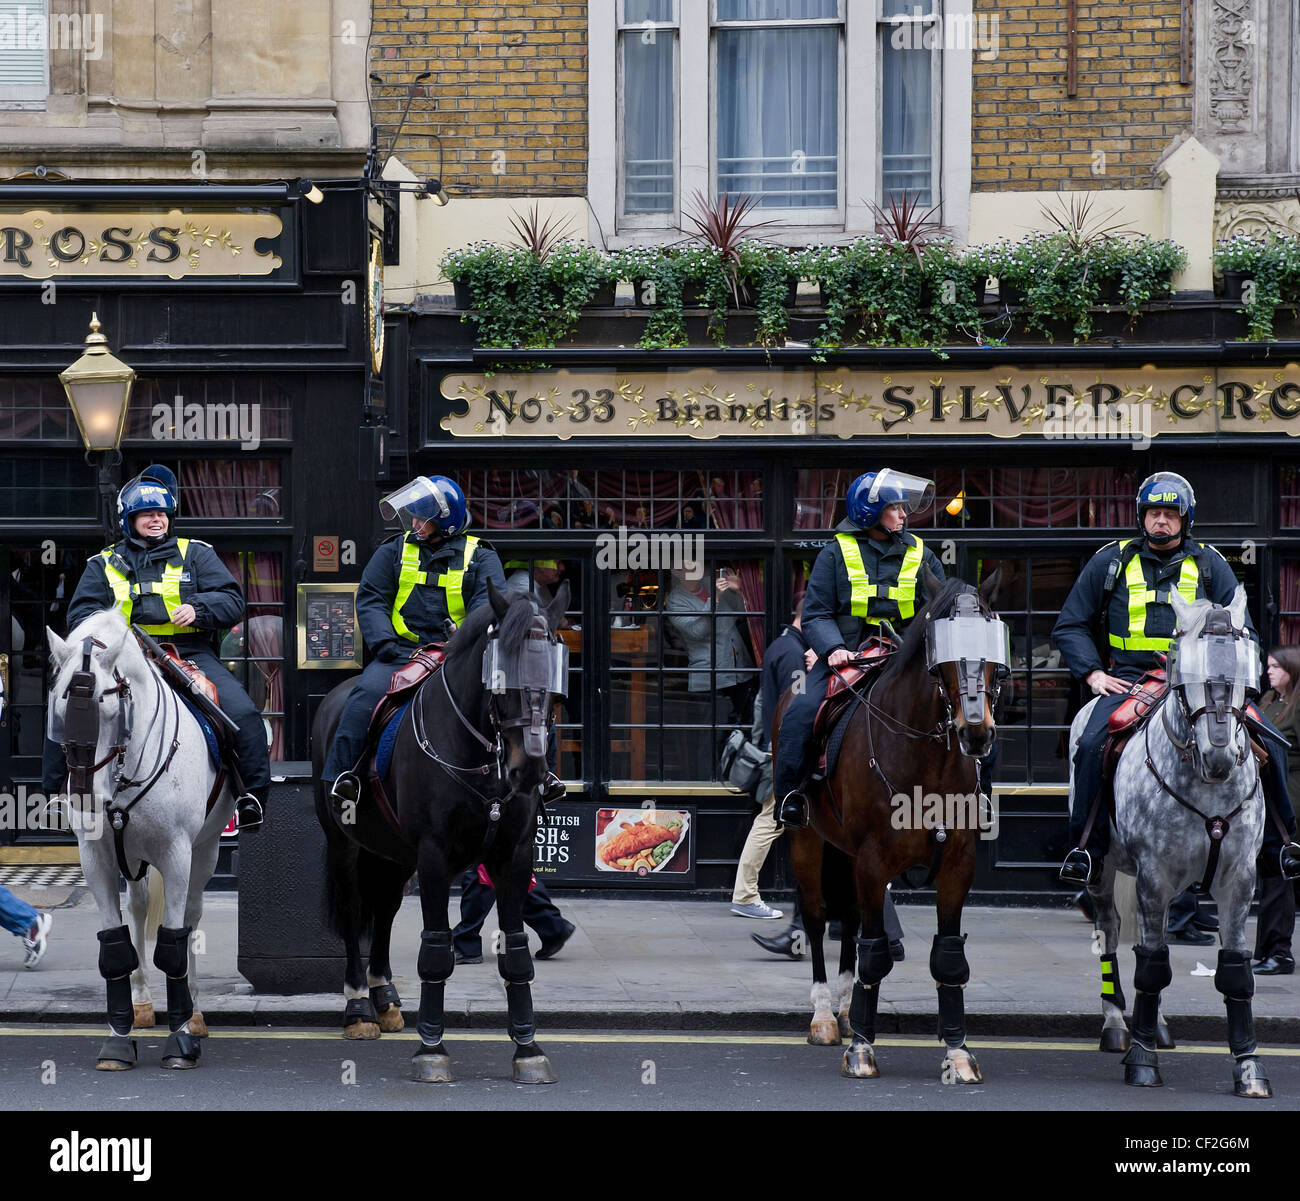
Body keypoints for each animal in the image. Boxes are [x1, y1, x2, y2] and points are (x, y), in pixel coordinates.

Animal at [46, 610, 236, 1071]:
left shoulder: (178, 853)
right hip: (131, 857)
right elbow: (116, 946)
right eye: (59, 706)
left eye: (108, 707)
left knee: (191, 919)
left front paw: (181, 1039)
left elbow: (173, 942)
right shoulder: (96, 856)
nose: (85, 797)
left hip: (205, 851)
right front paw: (117, 1039)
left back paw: (195, 1012)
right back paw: (143, 1001)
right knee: (137, 906)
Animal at [313, 577, 569, 1081]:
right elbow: (435, 950)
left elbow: (515, 952)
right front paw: (431, 1048)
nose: (529, 767)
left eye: (553, 670)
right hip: (343, 843)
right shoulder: (434, 855)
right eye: (497, 671)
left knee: (385, 910)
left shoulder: (514, 855)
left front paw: (527, 1048)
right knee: (354, 913)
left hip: (392, 853)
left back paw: (384, 997)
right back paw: (359, 1008)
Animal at [774, 566, 1008, 1081]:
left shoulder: (958, 863)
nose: (976, 732)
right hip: (808, 839)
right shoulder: (872, 859)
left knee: (850, 920)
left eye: (995, 650)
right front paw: (861, 1049)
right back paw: (826, 1015)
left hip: (844, 851)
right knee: (818, 919)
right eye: (939, 654)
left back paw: (846, 1009)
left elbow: (946, 958)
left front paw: (957, 1052)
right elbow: (876, 952)